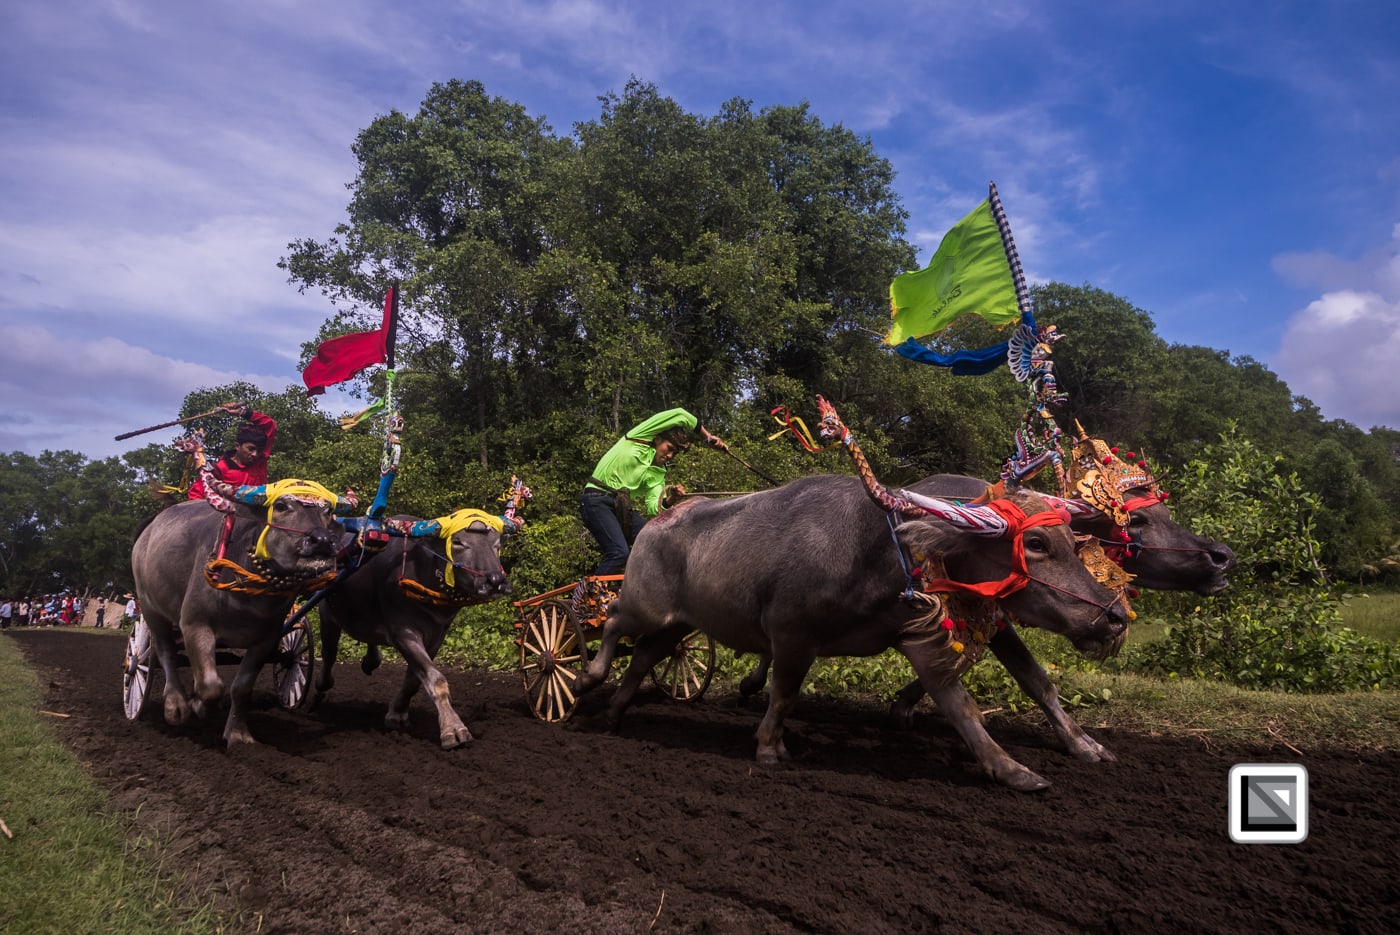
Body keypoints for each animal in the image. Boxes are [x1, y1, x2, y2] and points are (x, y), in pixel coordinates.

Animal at [131, 479, 346, 746]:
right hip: (150, 608)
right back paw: (175, 706)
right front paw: (198, 706)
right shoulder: (194, 624)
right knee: (164, 652)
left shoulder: (266, 639)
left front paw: (238, 733)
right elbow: (210, 685)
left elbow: (241, 688)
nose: (323, 540)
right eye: (281, 506)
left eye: (327, 511)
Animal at [312, 509, 512, 748]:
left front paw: (397, 714)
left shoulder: (437, 635)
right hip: (326, 612)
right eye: (458, 542)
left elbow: (413, 680)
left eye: (497, 544)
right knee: (329, 654)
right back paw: (319, 689)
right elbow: (436, 679)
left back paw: (370, 660)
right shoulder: (403, 633)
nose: (496, 581)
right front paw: (453, 728)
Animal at [575, 476, 1129, 791]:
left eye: (1073, 543)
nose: (1114, 616)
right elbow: (784, 694)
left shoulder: (920, 638)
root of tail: (654, 523)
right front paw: (770, 747)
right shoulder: (791, 635)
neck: (880, 550)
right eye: (1035, 543)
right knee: (613, 621)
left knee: (643, 659)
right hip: (646, 606)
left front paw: (1015, 768)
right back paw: (585, 678)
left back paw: (612, 713)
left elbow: (968, 705)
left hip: (679, 625)